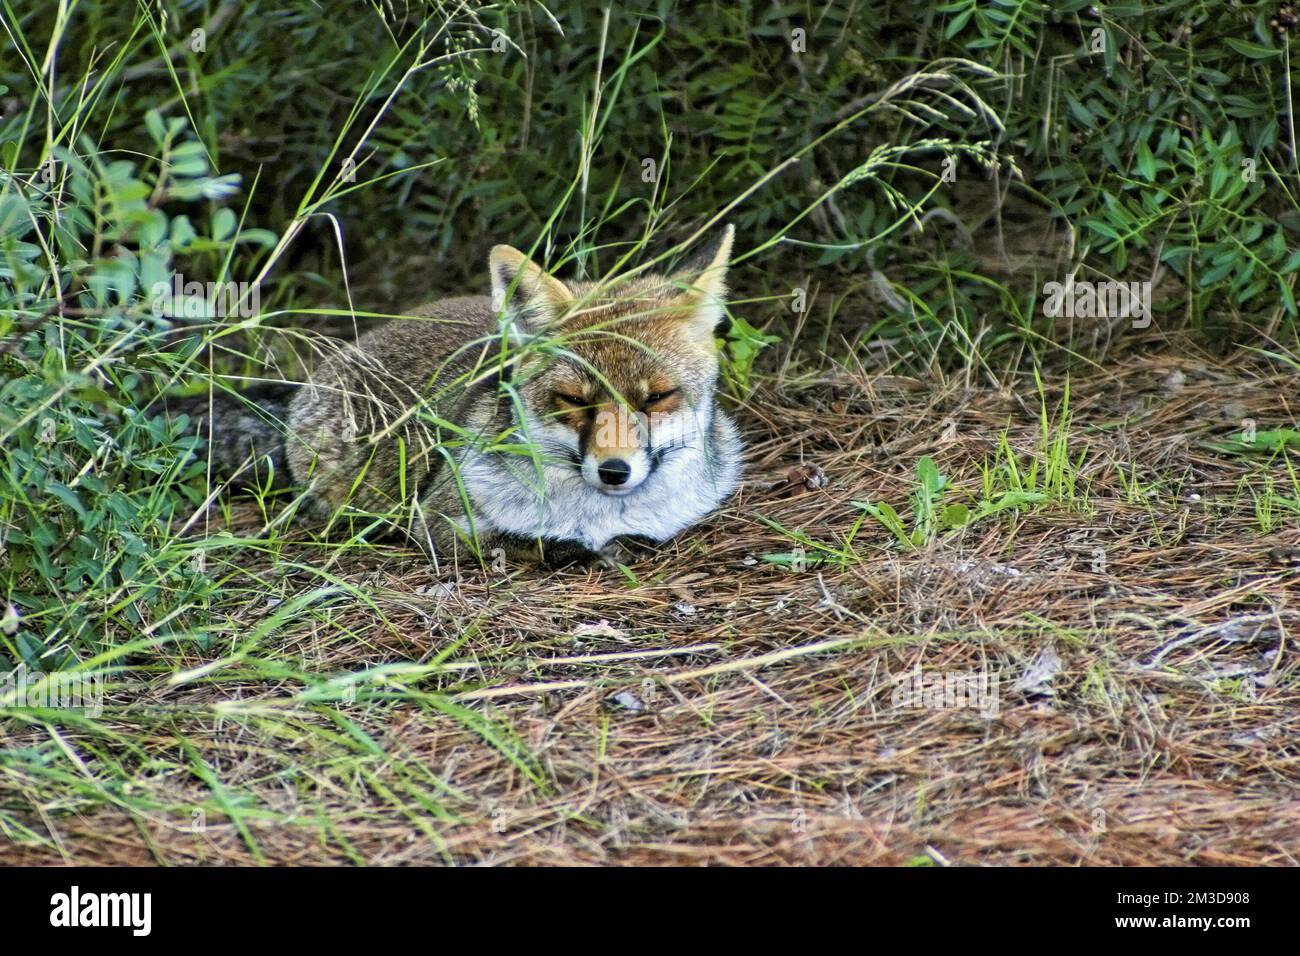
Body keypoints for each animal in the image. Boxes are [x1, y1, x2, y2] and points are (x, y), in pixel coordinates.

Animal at [184, 226, 743, 567]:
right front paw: (587, 549)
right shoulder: (441, 520)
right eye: (573, 400)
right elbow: (532, 543)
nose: (614, 471)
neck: (599, 515)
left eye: (658, 398)